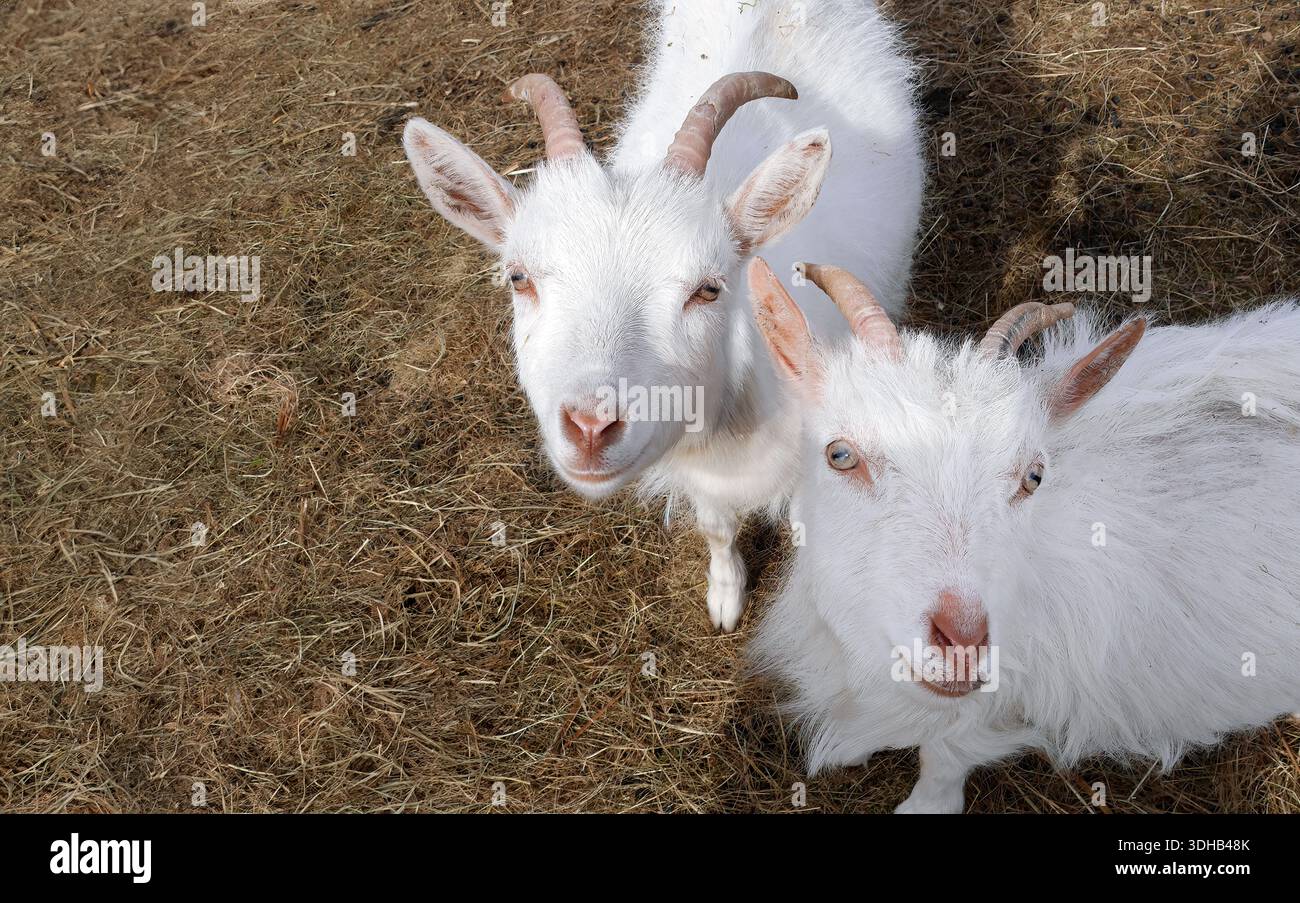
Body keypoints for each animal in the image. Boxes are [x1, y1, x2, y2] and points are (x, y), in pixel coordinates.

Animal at [402, 1, 923, 631]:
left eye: (709, 288)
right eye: (519, 278)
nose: (591, 427)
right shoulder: (703, 478)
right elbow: (717, 529)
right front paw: (725, 598)